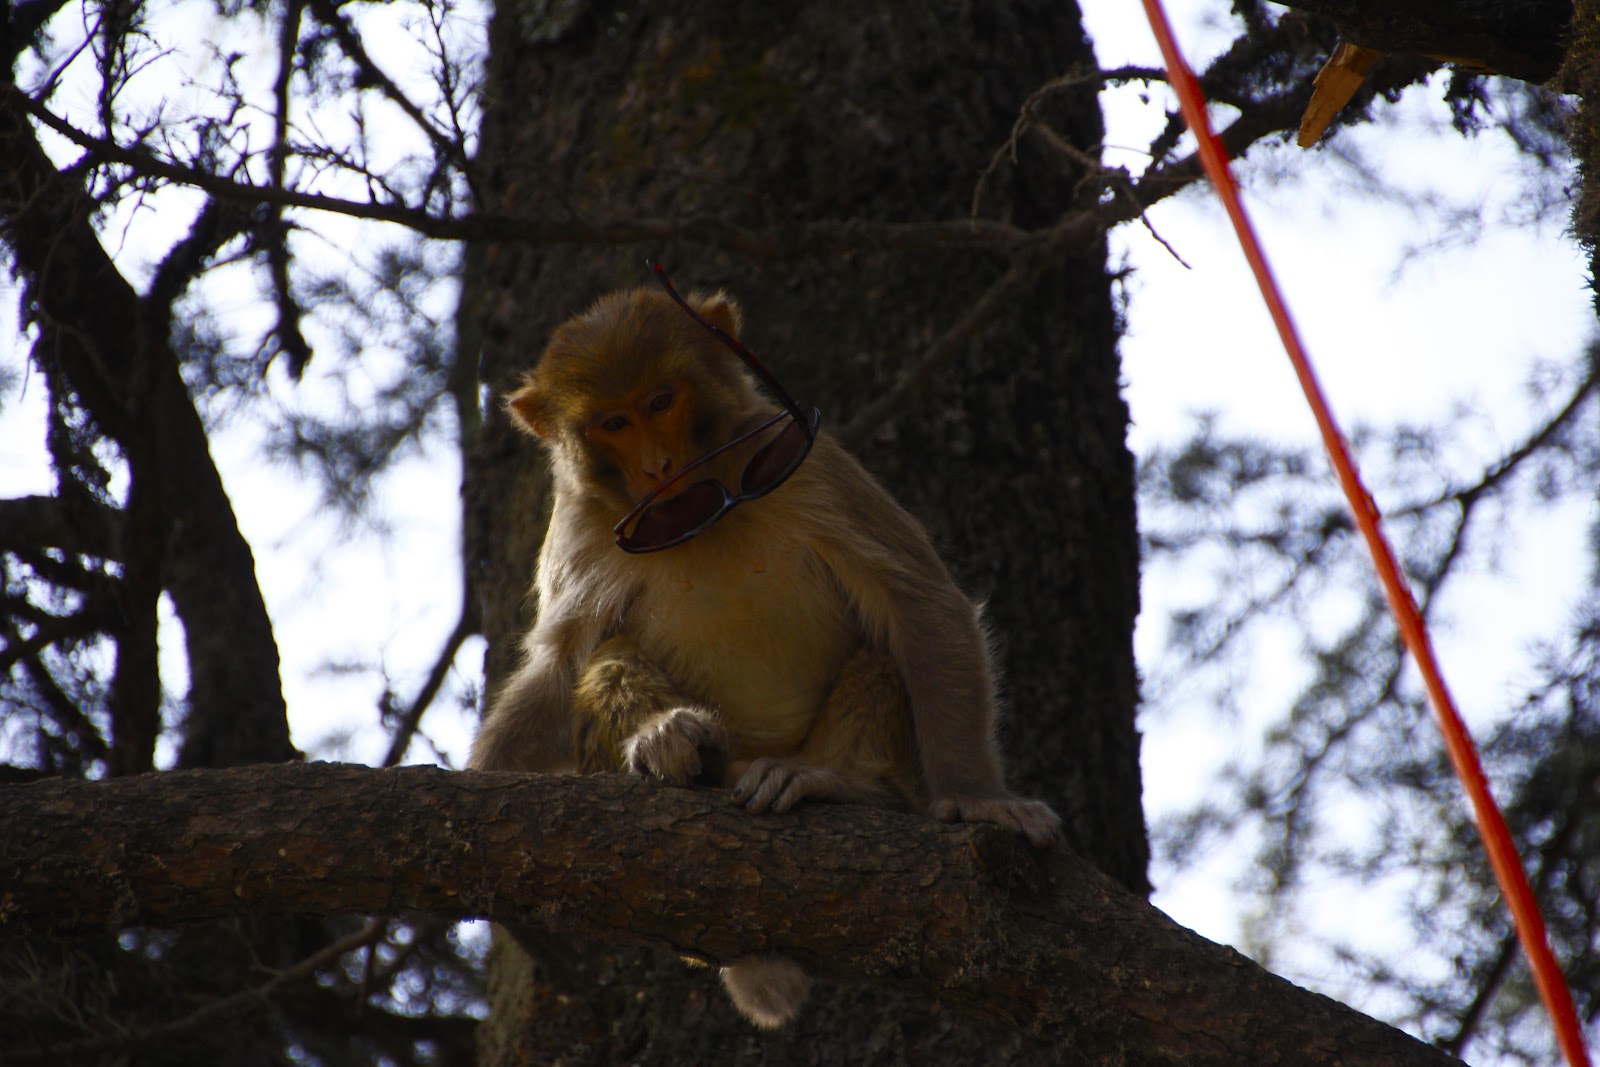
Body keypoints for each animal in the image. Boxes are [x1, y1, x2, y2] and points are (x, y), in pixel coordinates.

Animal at [470, 277, 1060, 1028]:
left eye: (660, 402)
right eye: (613, 423)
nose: (658, 465)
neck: (705, 506)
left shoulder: (811, 464)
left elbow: (922, 604)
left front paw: (978, 797)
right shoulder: (583, 520)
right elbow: (560, 664)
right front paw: (485, 779)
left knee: (880, 660)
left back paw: (830, 778)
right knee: (610, 658)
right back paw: (671, 744)